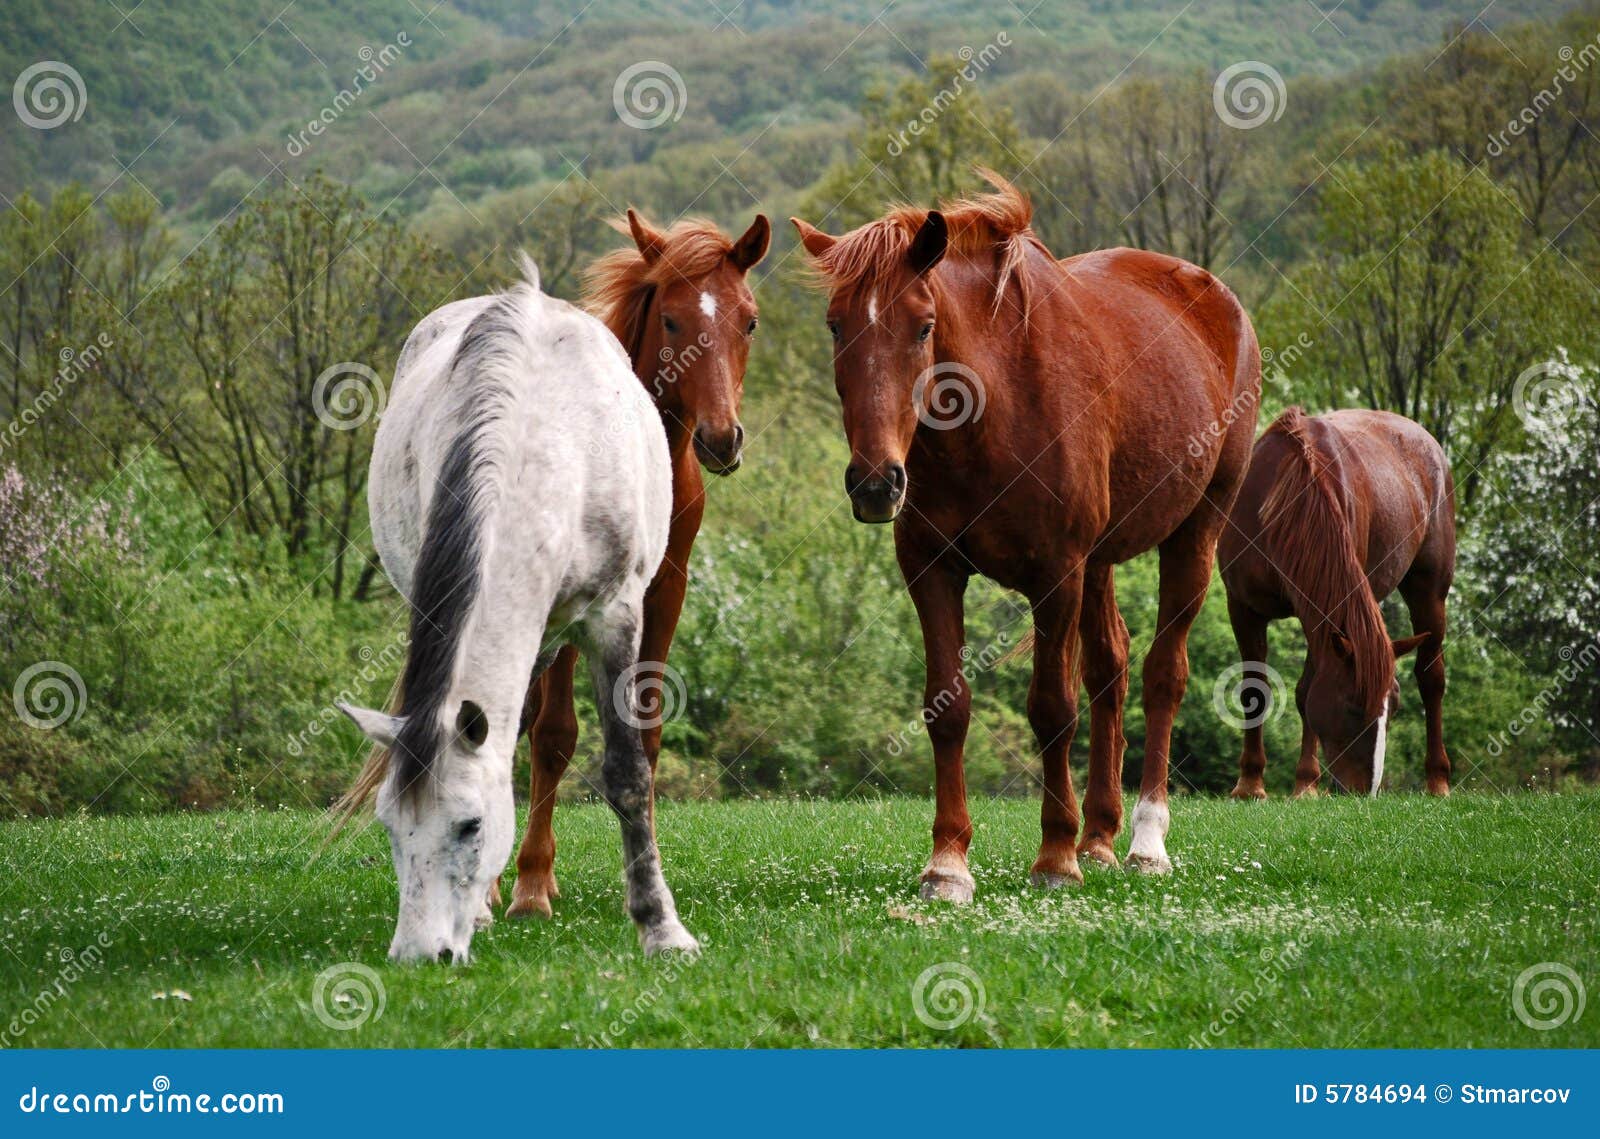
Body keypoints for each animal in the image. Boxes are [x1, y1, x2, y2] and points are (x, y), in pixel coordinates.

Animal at [336, 257, 698, 963]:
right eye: (388, 826)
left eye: (470, 825)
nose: (418, 955)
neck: (547, 447)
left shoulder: (616, 618)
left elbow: (627, 774)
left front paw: (661, 928)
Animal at [506, 210, 769, 919]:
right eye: (672, 322)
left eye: (749, 320)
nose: (721, 439)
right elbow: (554, 734)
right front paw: (530, 883)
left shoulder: (665, 592)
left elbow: (644, 733)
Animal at [792, 169, 1260, 898]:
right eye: (836, 325)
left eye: (923, 327)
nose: (875, 483)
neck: (994, 408)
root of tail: (1220, 300)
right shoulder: (931, 570)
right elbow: (947, 707)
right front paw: (948, 862)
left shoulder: (1056, 573)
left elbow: (1051, 707)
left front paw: (1055, 855)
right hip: (1100, 562)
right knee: (1111, 667)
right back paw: (1101, 835)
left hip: (1194, 533)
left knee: (1163, 675)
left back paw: (1144, 840)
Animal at [1219, 407, 1453, 798]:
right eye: (1353, 708)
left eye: (1394, 707)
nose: (1365, 790)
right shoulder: (1242, 606)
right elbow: (1255, 688)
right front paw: (1250, 784)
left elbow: (1305, 691)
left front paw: (1305, 782)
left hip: (1430, 592)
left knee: (1431, 679)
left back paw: (1438, 780)